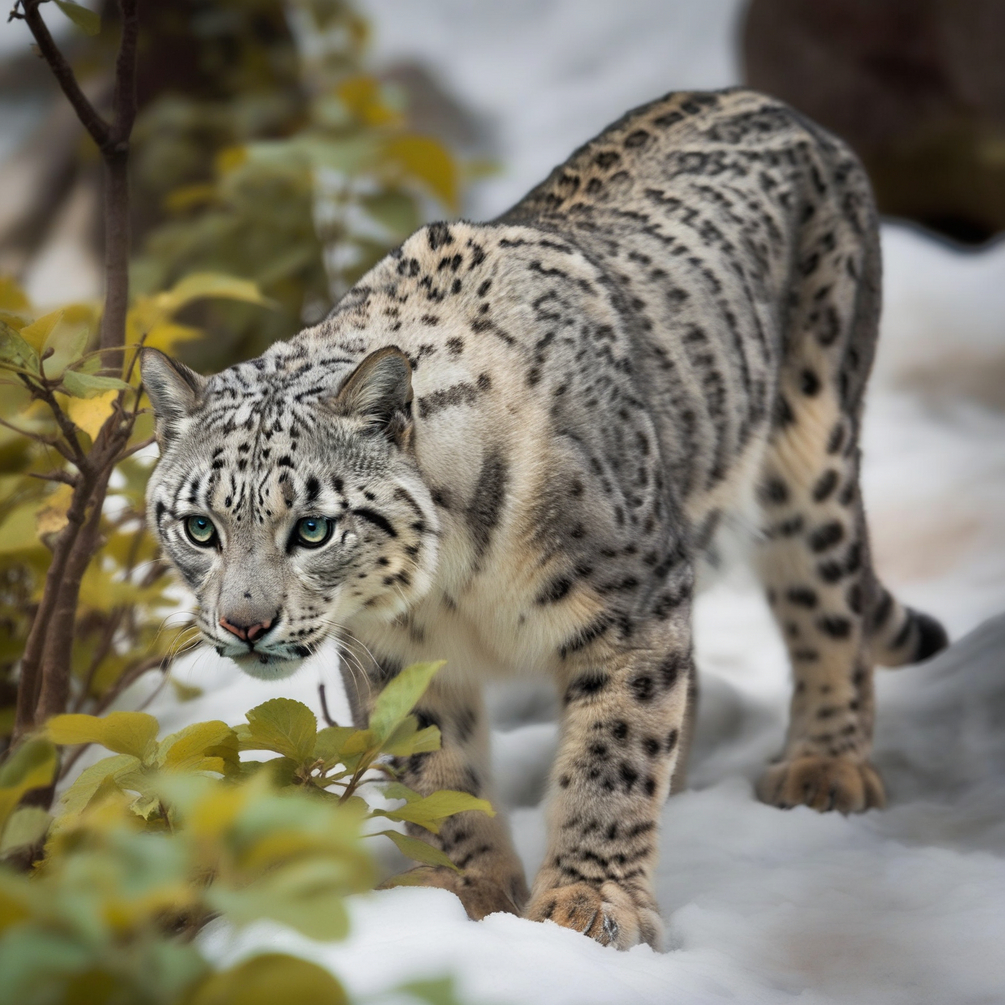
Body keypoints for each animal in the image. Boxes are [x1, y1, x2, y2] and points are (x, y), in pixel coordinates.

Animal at [142, 87, 949, 951]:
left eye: (313, 528)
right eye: (199, 527)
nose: (244, 622)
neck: (456, 583)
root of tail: (771, 103)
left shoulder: (633, 606)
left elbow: (614, 750)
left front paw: (588, 904)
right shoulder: (397, 649)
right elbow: (436, 765)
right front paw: (464, 887)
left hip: (811, 456)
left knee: (827, 605)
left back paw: (824, 767)